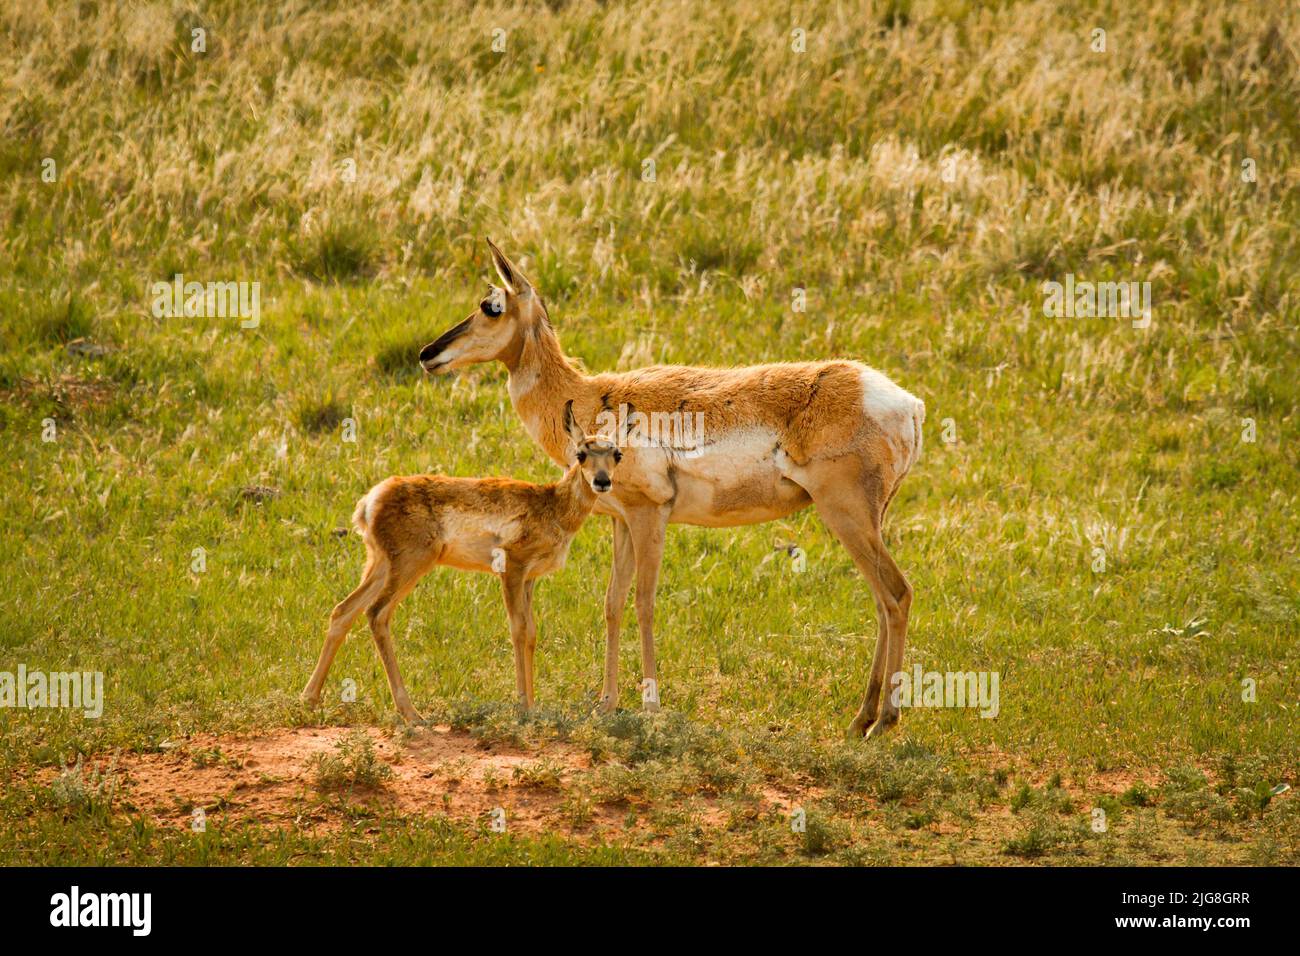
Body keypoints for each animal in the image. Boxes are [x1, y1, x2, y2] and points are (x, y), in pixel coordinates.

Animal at [301, 400, 626, 721]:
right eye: (581, 454)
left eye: (617, 454)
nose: (602, 481)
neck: (552, 505)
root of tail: (371, 501)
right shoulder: (512, 569)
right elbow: (518, 630)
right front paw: (523, 707)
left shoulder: (530, 578)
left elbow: (532, 633)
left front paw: (533, 705)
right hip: (410, 564)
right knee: (376, 613)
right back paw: (411, 713)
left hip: (380, 564)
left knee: (344, 610)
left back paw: (310, 699)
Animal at [420, 240, 925, 740]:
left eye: (491, 306)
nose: (428, 353)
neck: (589, 396)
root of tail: (907, 403)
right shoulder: (622, 522)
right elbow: (612, 604)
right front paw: (607, 704)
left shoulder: (650, 515)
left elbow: (644, 603)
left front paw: (651, 705)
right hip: (865, 521)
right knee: (882, 602)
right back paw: (861, 719)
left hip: (846, 516)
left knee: (896, 594)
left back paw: (882, 721)